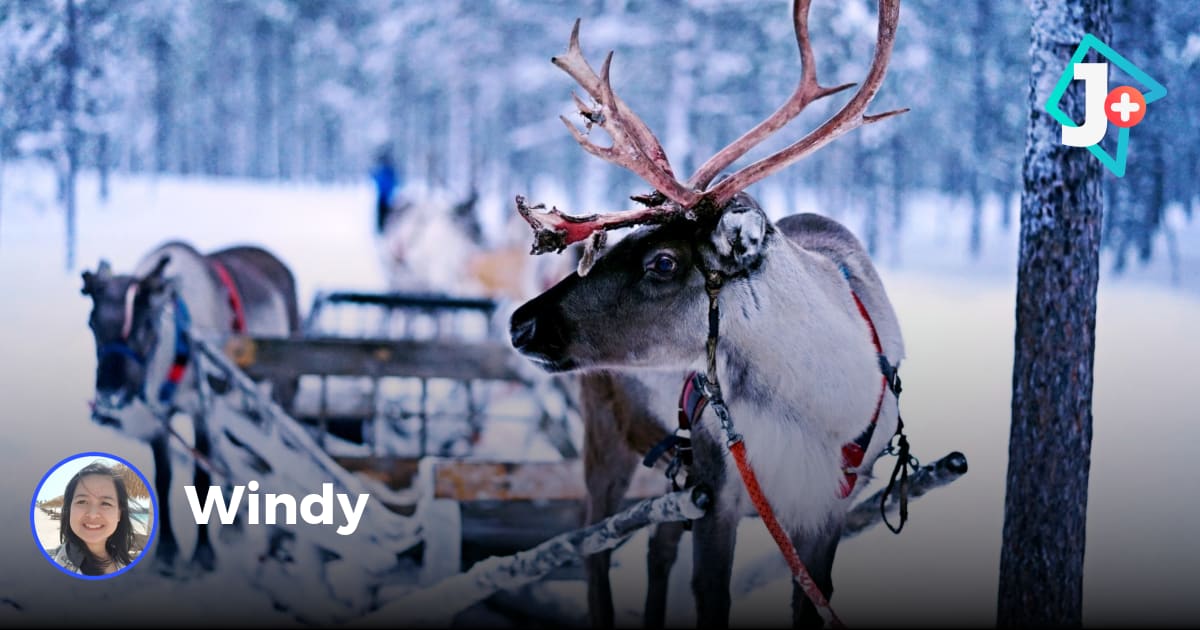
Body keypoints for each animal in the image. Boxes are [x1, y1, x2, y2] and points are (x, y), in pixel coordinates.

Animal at [507, 0, 905, 627]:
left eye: (663, 262)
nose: (520, 323)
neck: (817, 408)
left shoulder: (825, 507)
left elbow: (812, 599)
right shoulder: (719, 489)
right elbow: (708, 592)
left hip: (672, 476)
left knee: (655, 548)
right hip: (606, 441)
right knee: (594, 548)